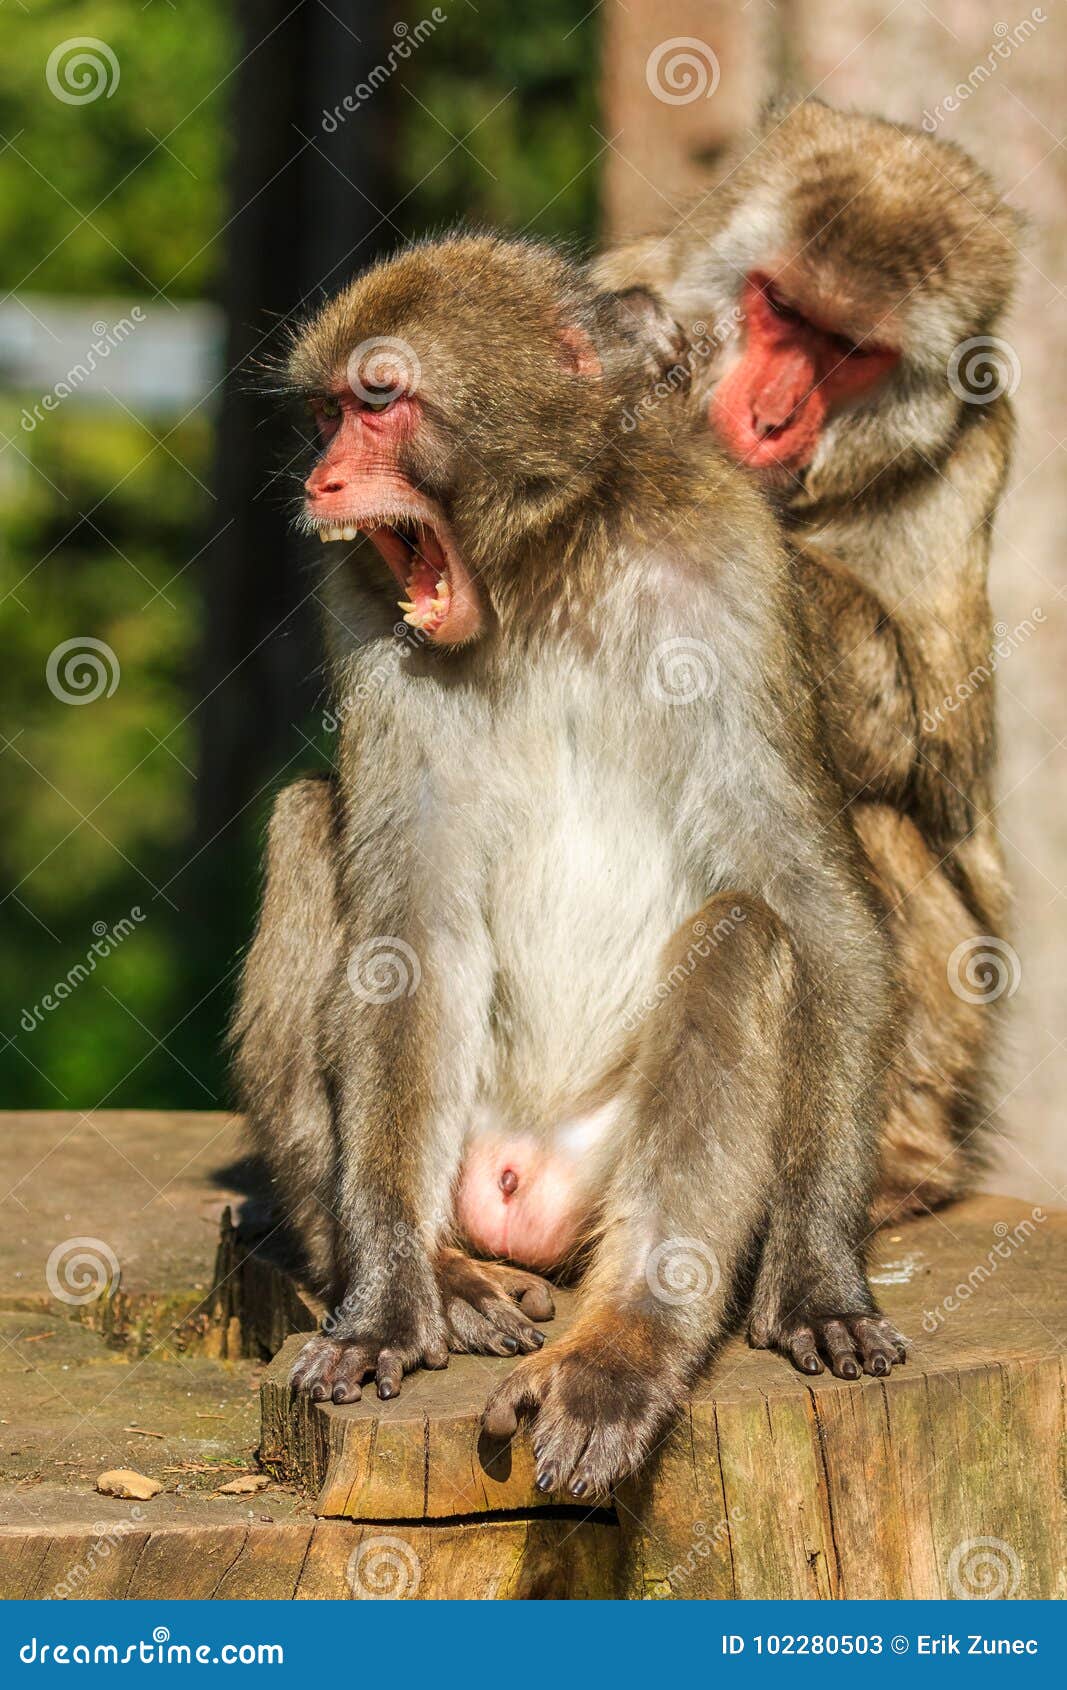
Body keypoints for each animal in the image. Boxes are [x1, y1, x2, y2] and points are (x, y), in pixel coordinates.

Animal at [232, 231, 907, 1496]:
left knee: (742, 937)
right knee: (305, 817)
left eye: (378, 401)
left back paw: (624, 1347)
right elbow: (408, 924)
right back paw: (442, 1269)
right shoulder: (363, 608)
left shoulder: (731, 566)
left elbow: (809, 902)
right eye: (324, 414)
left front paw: (816, 1271)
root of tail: (516, 1184)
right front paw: (384, 1295)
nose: (321, 483)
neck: (545, 565)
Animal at [593, 98, 1022, 1223]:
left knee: (859, 811)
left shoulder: (970, 455)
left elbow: (921, 746)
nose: (771, 414)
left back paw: (884, 1168)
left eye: (851, 349)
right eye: (780, 308)